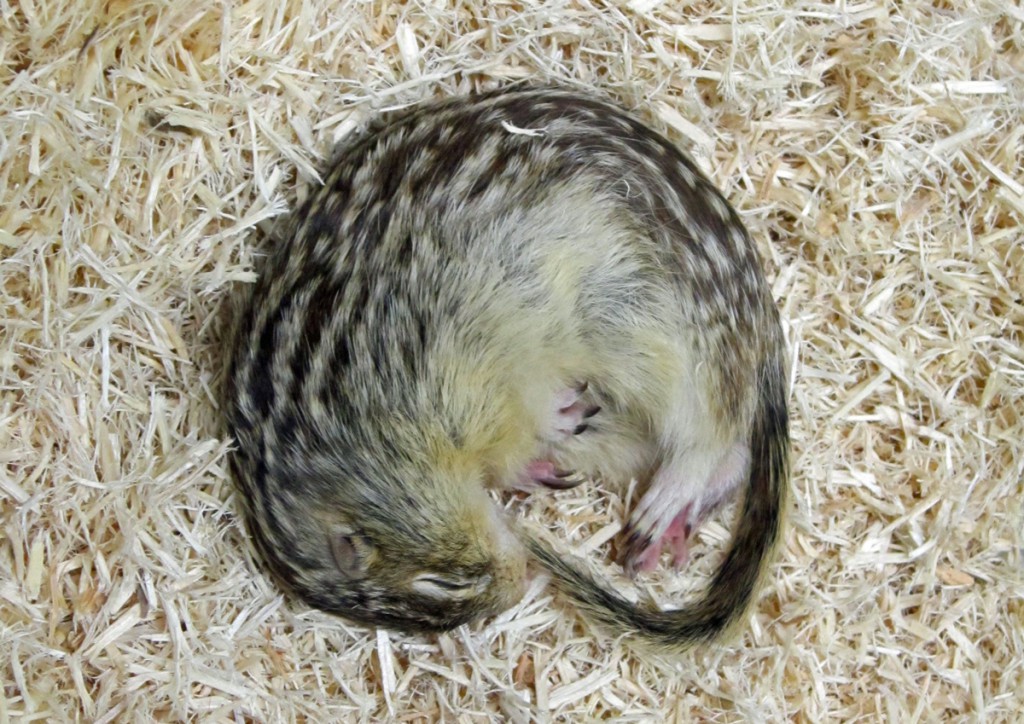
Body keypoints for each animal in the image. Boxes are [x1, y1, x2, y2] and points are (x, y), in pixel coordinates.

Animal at [225, 85, 789, 650]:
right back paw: (668, 530)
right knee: (734, 459)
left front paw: (544, 433)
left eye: (440, 583)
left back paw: (667, 501)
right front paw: (538, 463)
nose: (520, 583)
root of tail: (763, 324)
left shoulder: (456, 372)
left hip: (663, 336)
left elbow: (515, 427)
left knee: (714, 430)